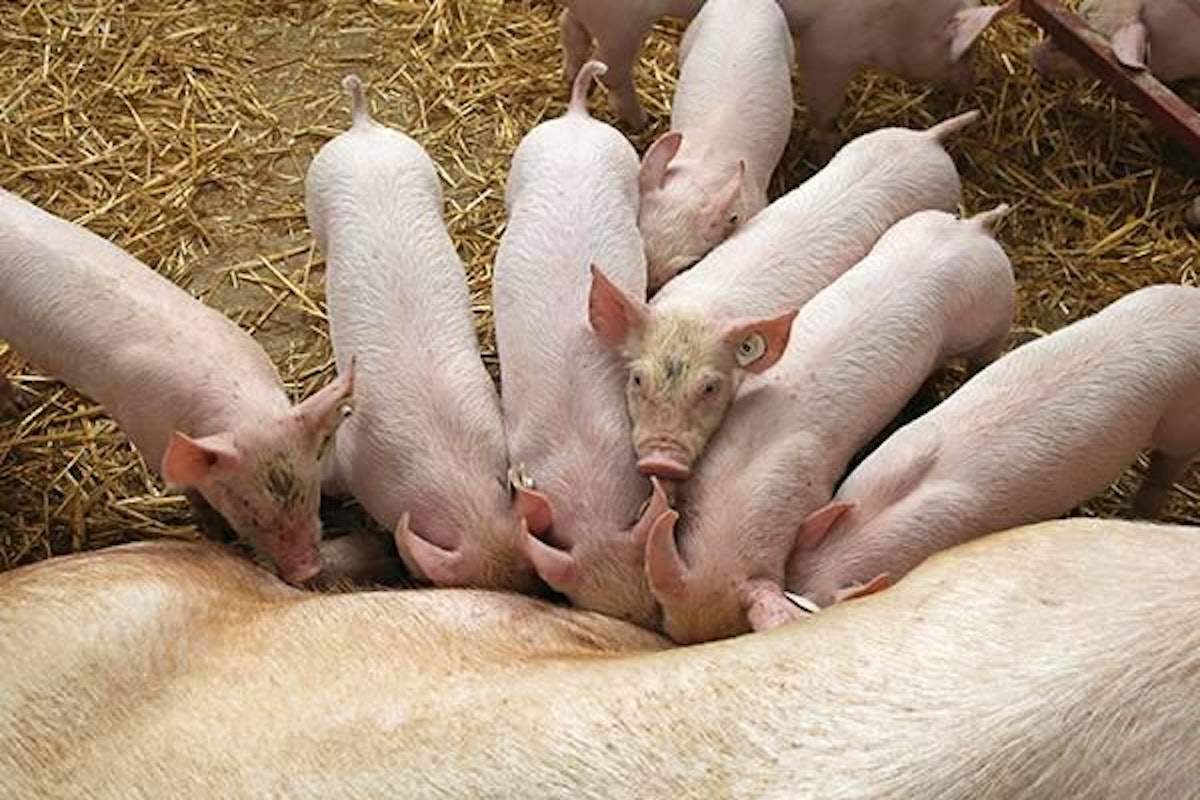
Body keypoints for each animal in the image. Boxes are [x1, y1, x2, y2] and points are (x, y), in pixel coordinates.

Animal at [0, 188, 353, 583]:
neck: (243, 408)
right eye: (249, 508)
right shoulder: (148, 435)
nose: (308, 570)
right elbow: (189, 492)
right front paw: (214, 534)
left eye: (312, 493)